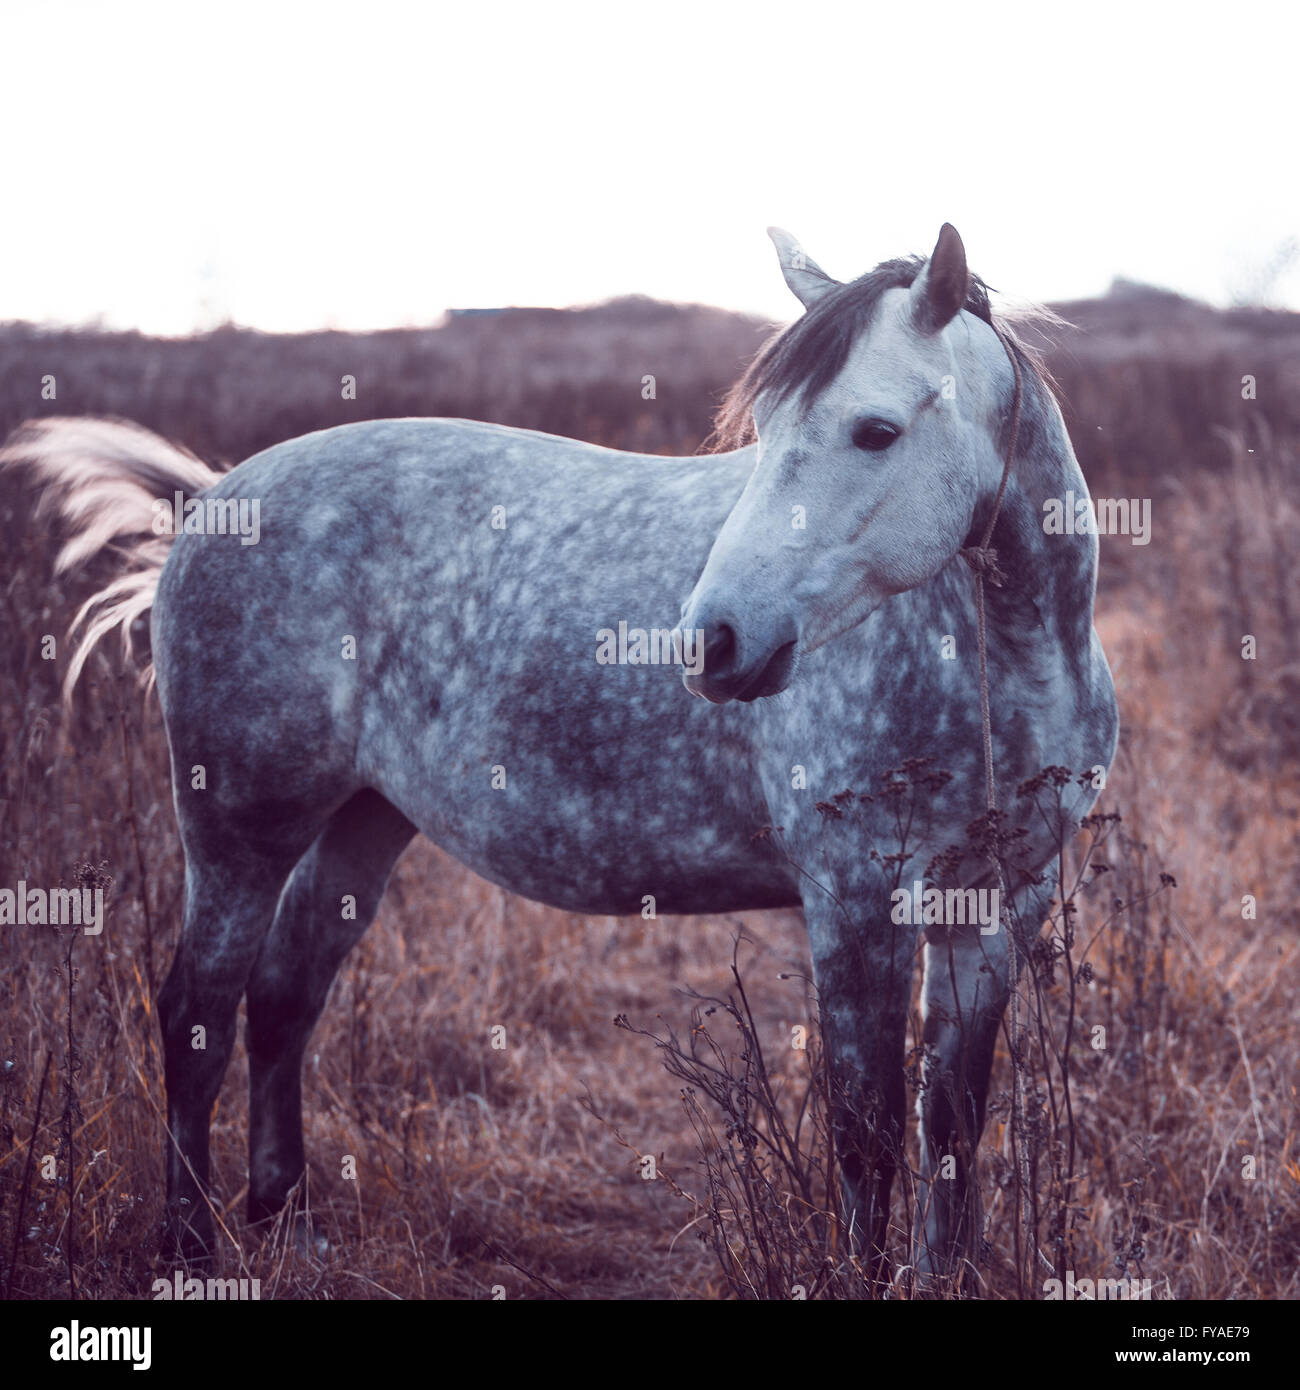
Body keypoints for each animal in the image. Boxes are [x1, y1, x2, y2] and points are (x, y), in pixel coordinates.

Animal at [3, 222, 1118, 1288]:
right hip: (241, 829)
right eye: (762, 432)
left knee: (283, 1000)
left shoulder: (997, 898)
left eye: (876, 430)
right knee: (196, 1014)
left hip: (363, 820)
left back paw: (291, 1226)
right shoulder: (855, 898)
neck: (998, 658)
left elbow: (951, 1123)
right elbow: (868, 1133)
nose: (714, 642)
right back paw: (190, 1250)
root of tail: (208, 501)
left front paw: (943, 1272)